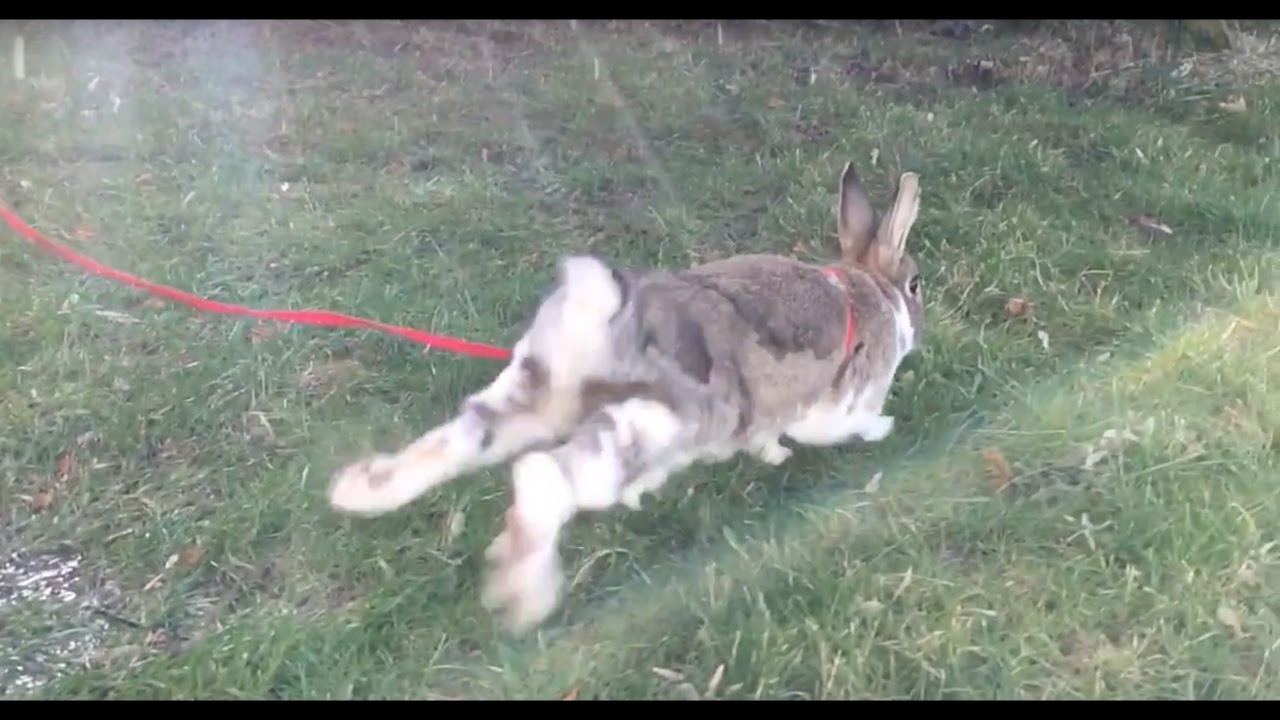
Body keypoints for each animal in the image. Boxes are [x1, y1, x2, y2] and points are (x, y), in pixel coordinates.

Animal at [326, 160, 926, 634]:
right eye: (916, 284)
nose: (918, 320)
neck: (869, 288)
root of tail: (603, 319)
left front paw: (773, 454)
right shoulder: (839, 401)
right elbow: (842, 424)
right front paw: (882, 429)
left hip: (531, 390)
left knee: (461, 440)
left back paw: (360, 489)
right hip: (654, 424)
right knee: (543, 476)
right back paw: (525, 594)